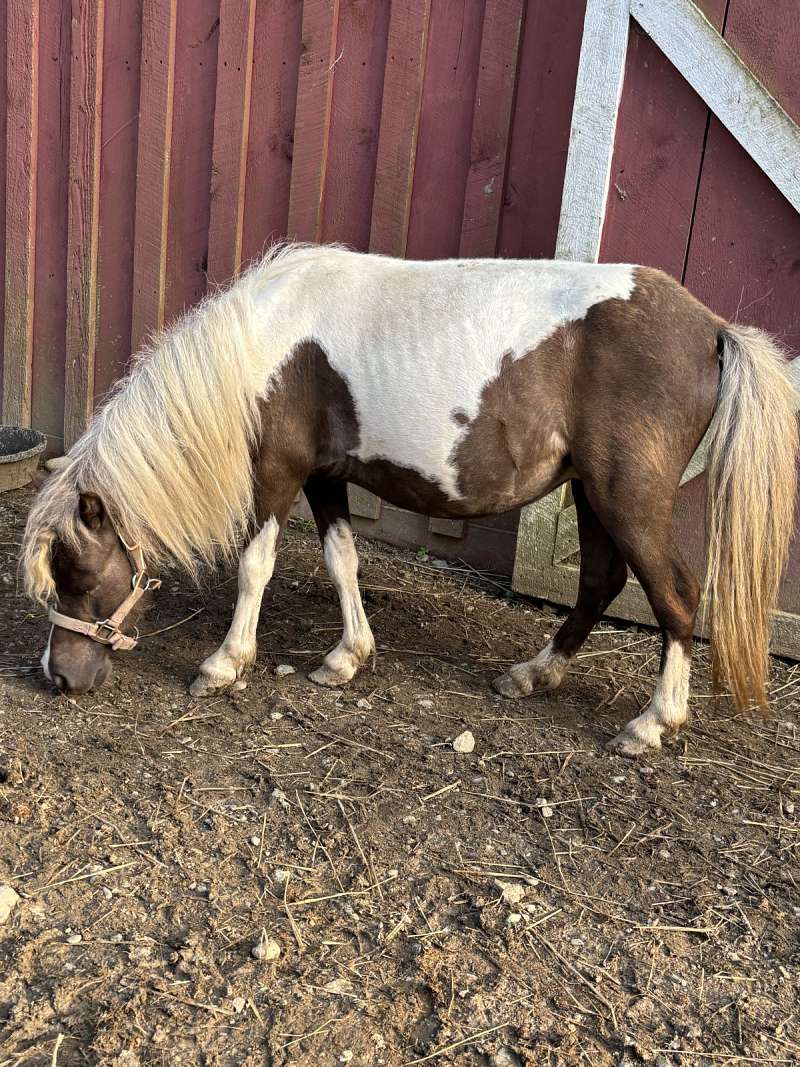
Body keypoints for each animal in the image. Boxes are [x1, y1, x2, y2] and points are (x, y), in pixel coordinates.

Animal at [20, 243, 798, 755]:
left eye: (78, 574)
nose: (57, 677)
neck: (264, 345)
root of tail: (711, 328)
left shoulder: (279, 471)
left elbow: (254, 568)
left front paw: (225, 662)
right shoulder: (324, 476)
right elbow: (342, 562)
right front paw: (347, 657)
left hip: (626, 496)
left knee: (676, 596)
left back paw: (652, 722)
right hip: (591, 494)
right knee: (600, 583)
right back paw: (533, 674)